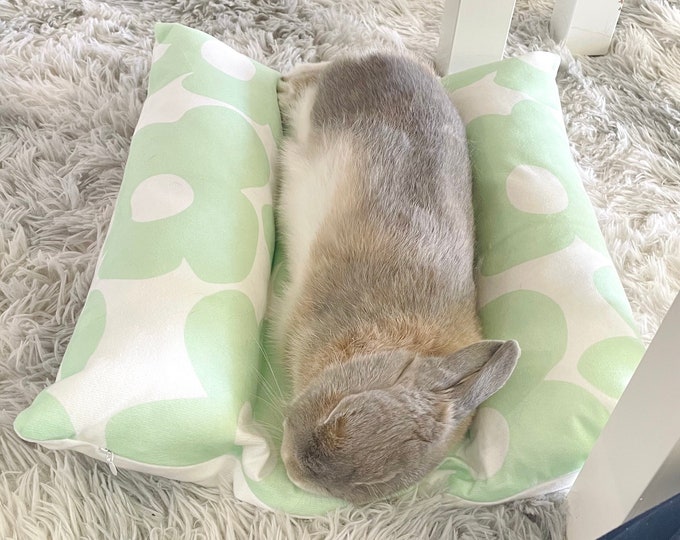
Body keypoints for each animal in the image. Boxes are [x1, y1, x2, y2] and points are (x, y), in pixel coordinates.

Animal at [273, 53, 520, 505]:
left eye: (370, 485)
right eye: (343, 412)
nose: (292, 465)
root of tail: (384, 57)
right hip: (320, 109)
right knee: (310, 78)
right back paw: (285, 85)